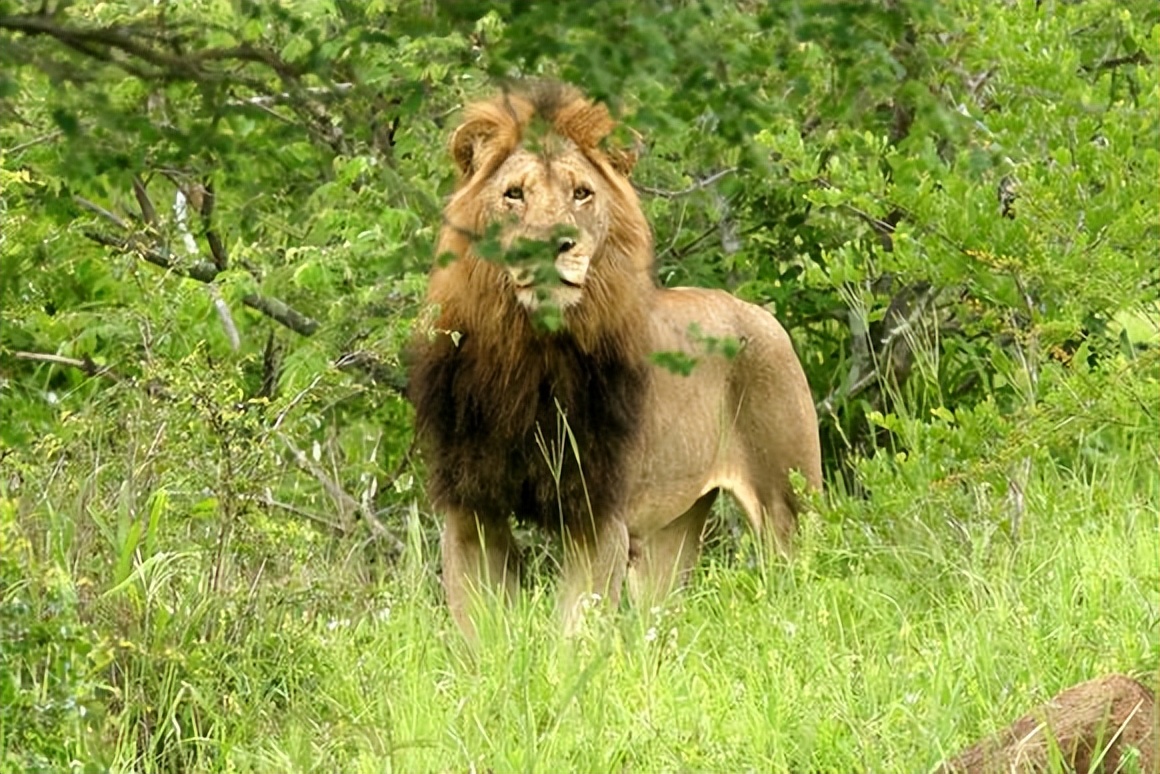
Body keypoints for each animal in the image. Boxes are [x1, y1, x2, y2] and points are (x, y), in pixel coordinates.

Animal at [407, 82, 822, 637]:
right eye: (514, 194)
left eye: (582, 193)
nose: (551, 244)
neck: (530, 352)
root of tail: (759, 313)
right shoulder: (470, 509)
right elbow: (481, 636)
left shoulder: (598, 514)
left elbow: (573, 634)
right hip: (670, 531)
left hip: (789, 506)